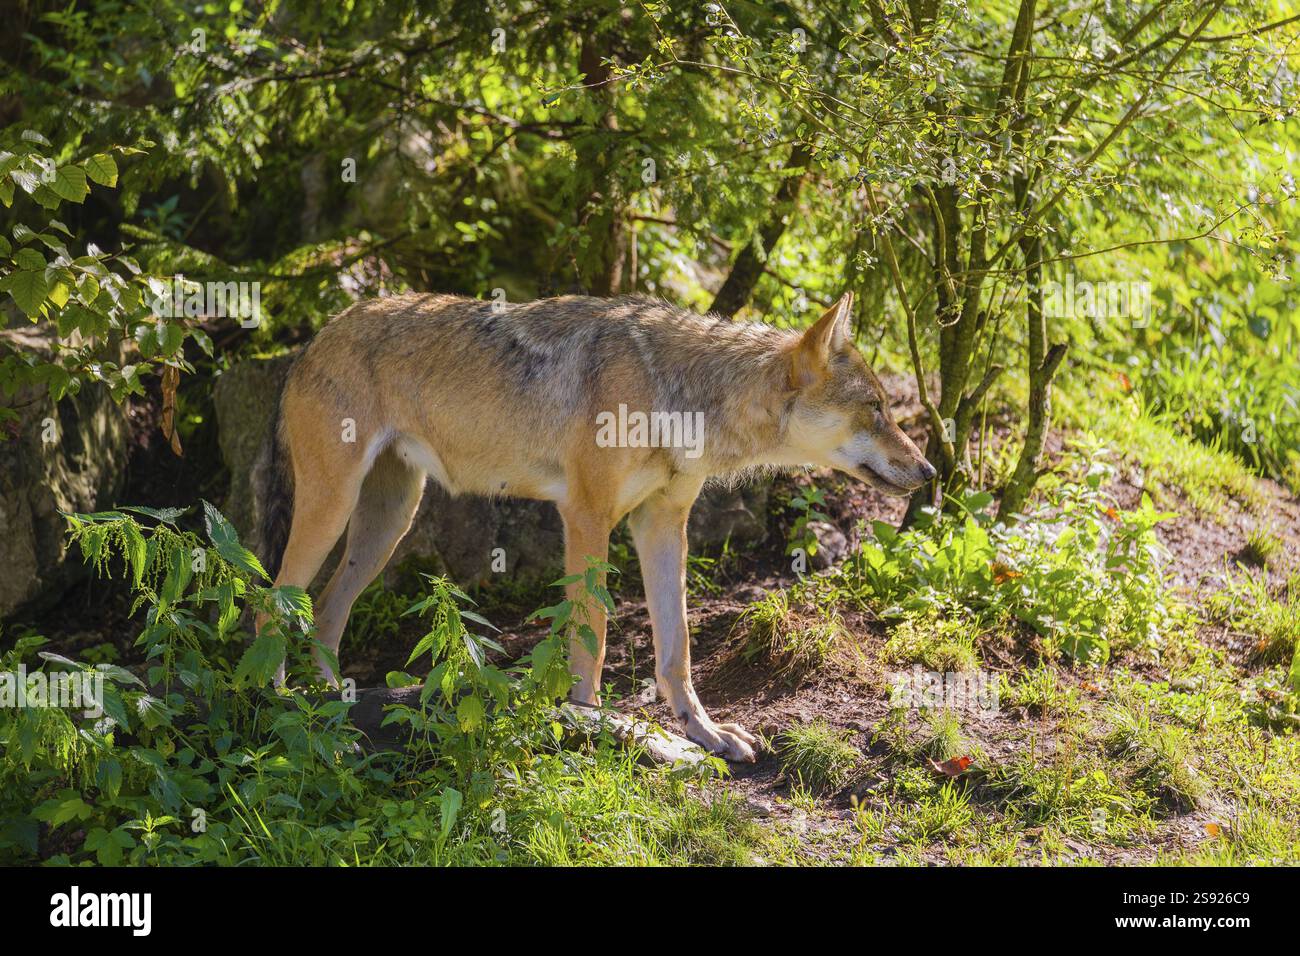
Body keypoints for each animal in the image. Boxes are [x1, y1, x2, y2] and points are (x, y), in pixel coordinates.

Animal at [254, 291, 935, 761]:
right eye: (875, 408)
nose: (929, 469)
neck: (678, 394)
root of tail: (314, 337)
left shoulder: (661, 523)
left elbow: (677, 649)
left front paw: (705, 732)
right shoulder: (586, 515)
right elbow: (596, 635)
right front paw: (589, 723)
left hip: (389, 521)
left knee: (323, 609)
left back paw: (329, 704)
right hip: (334, 508)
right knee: (271, 601)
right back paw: (280, 704)